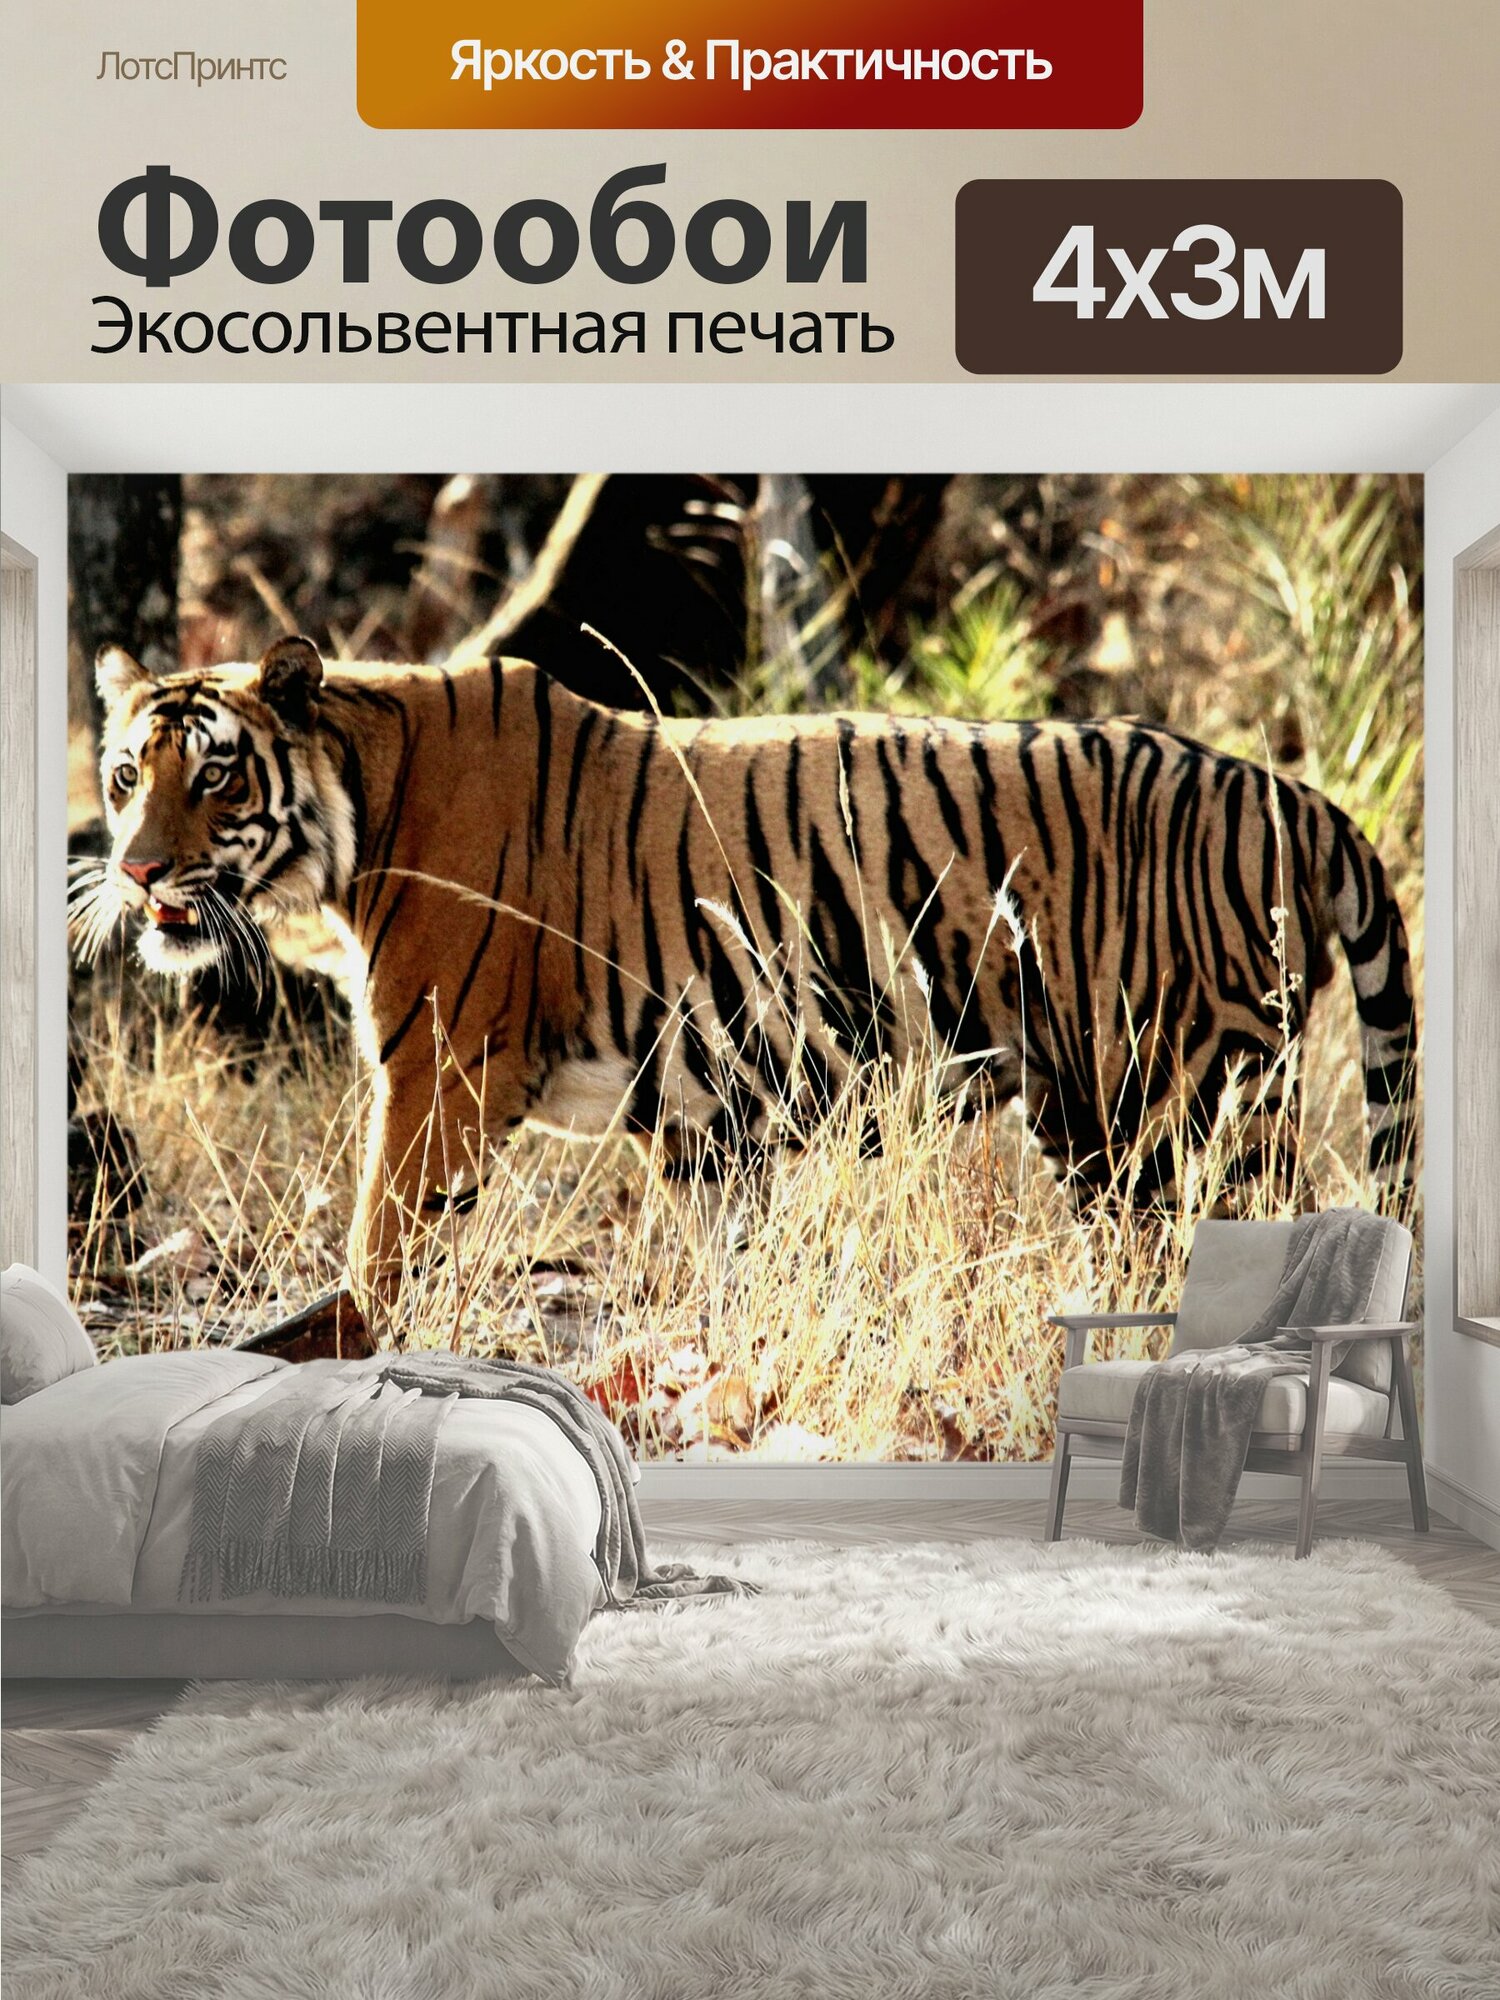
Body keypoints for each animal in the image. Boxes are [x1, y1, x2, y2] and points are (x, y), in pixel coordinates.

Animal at [77, 634, 1418, 1318]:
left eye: (215, 773)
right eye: (125, 773)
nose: (136, 871)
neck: (361, 800)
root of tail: (1301, 799)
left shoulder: (438, 1073)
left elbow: (374, 1252)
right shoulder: (701, 1127)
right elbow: (732, 1275)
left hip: (1196, 1088)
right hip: (1090, 1111)